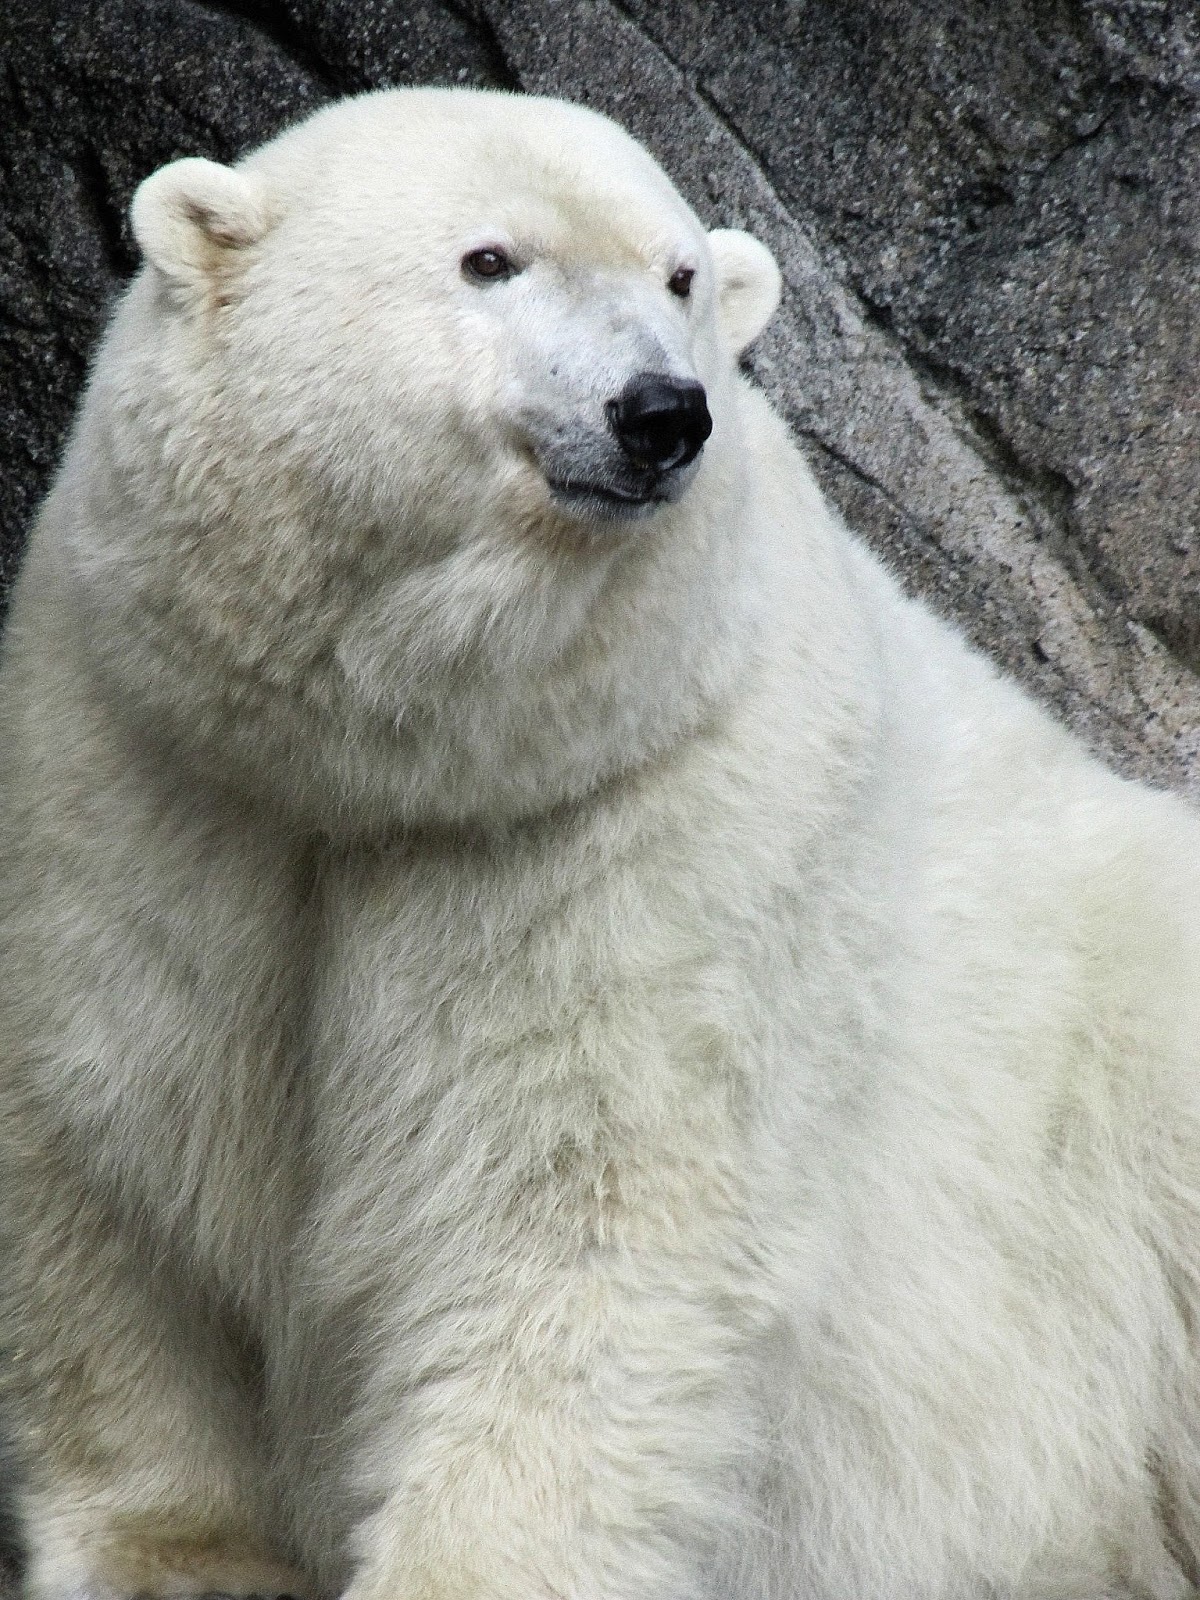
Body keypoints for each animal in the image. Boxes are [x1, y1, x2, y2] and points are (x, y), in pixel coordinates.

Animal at [3, 81, 1200, 1600]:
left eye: (679, 276)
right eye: (489, 259)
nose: (659, 412)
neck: (400, 765)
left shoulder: (664, 814)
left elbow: (586, 1202)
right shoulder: (133, 764)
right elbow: (103, 1155)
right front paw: (175, 1557)